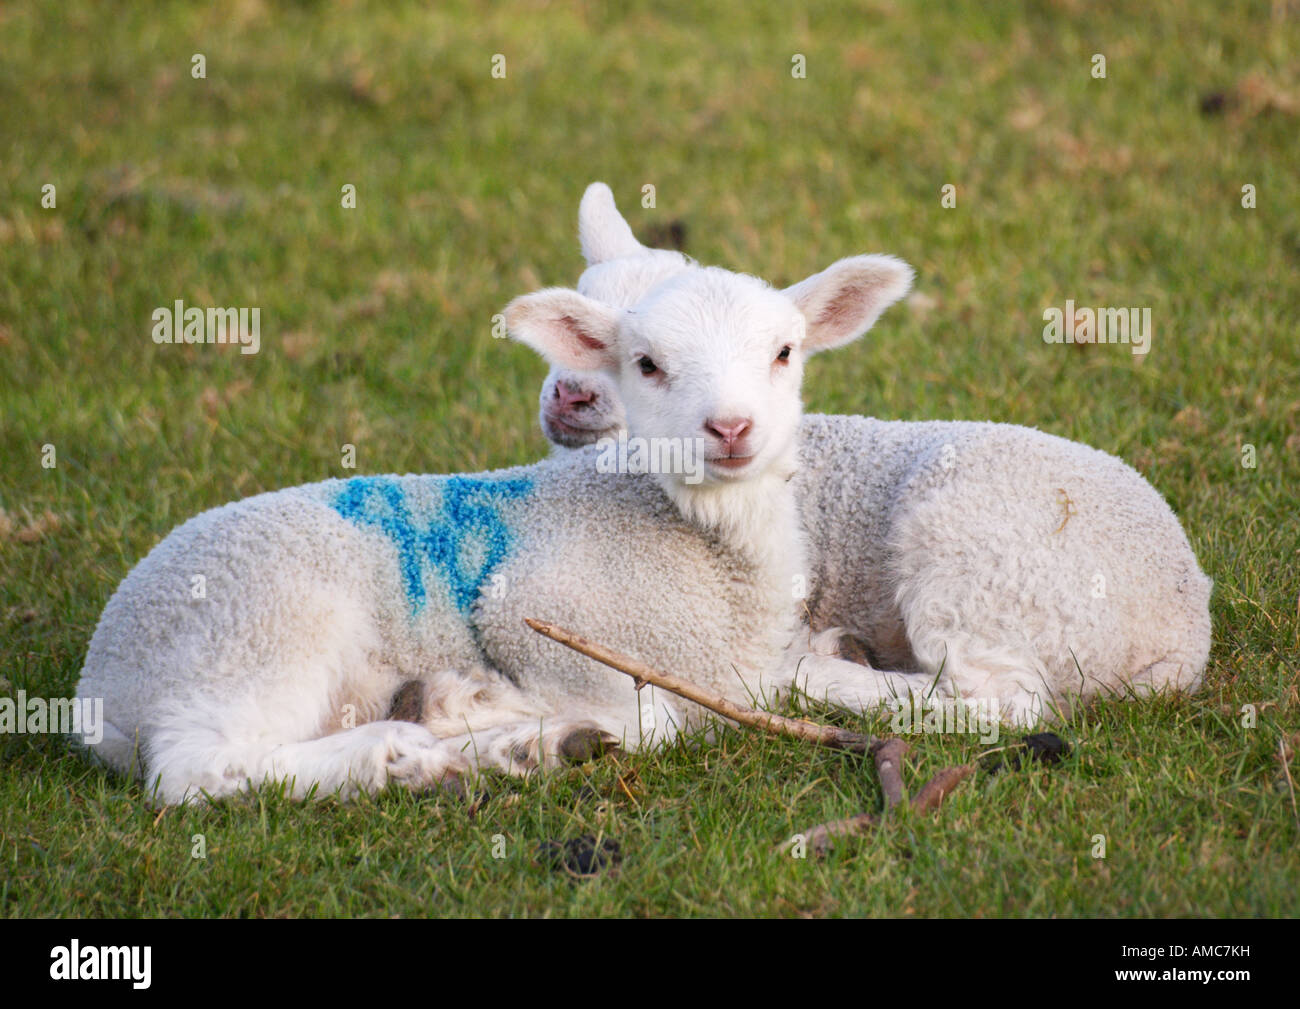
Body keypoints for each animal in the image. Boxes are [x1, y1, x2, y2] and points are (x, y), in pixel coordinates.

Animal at [74, 182, 916, 803]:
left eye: (785, 352)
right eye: (644, 363)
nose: (731, 427)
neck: (700, 541)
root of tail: (104, 684)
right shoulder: (533, 610)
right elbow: (656, 718)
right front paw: (486, 711)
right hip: (258, 636)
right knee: (196, 772)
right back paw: (420, 750)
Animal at [539, 185, 1213, 727]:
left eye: (783, 352)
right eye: (642, 359)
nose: (572, 394)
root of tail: (1182, 631)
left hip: (980, 573)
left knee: (1003, 702)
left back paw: (828, 675)